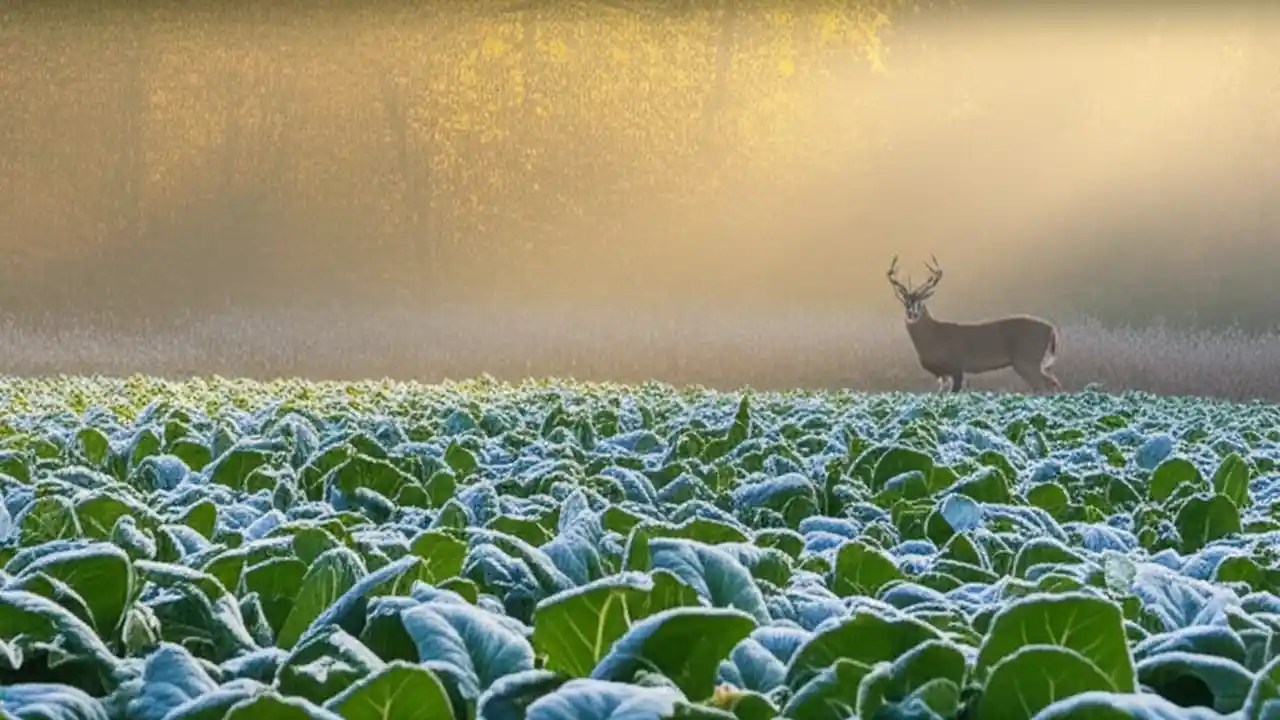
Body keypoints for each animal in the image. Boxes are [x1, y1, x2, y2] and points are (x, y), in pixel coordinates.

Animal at [886, 255, 1061, 394]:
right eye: (905, 302)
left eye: (921, 302)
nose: (912, 314)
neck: (933, 337)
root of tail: (1051, 329)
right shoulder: (942, 373)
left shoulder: (956, 365)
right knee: (1051, 382)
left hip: (1027, 358)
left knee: (1044, 385)